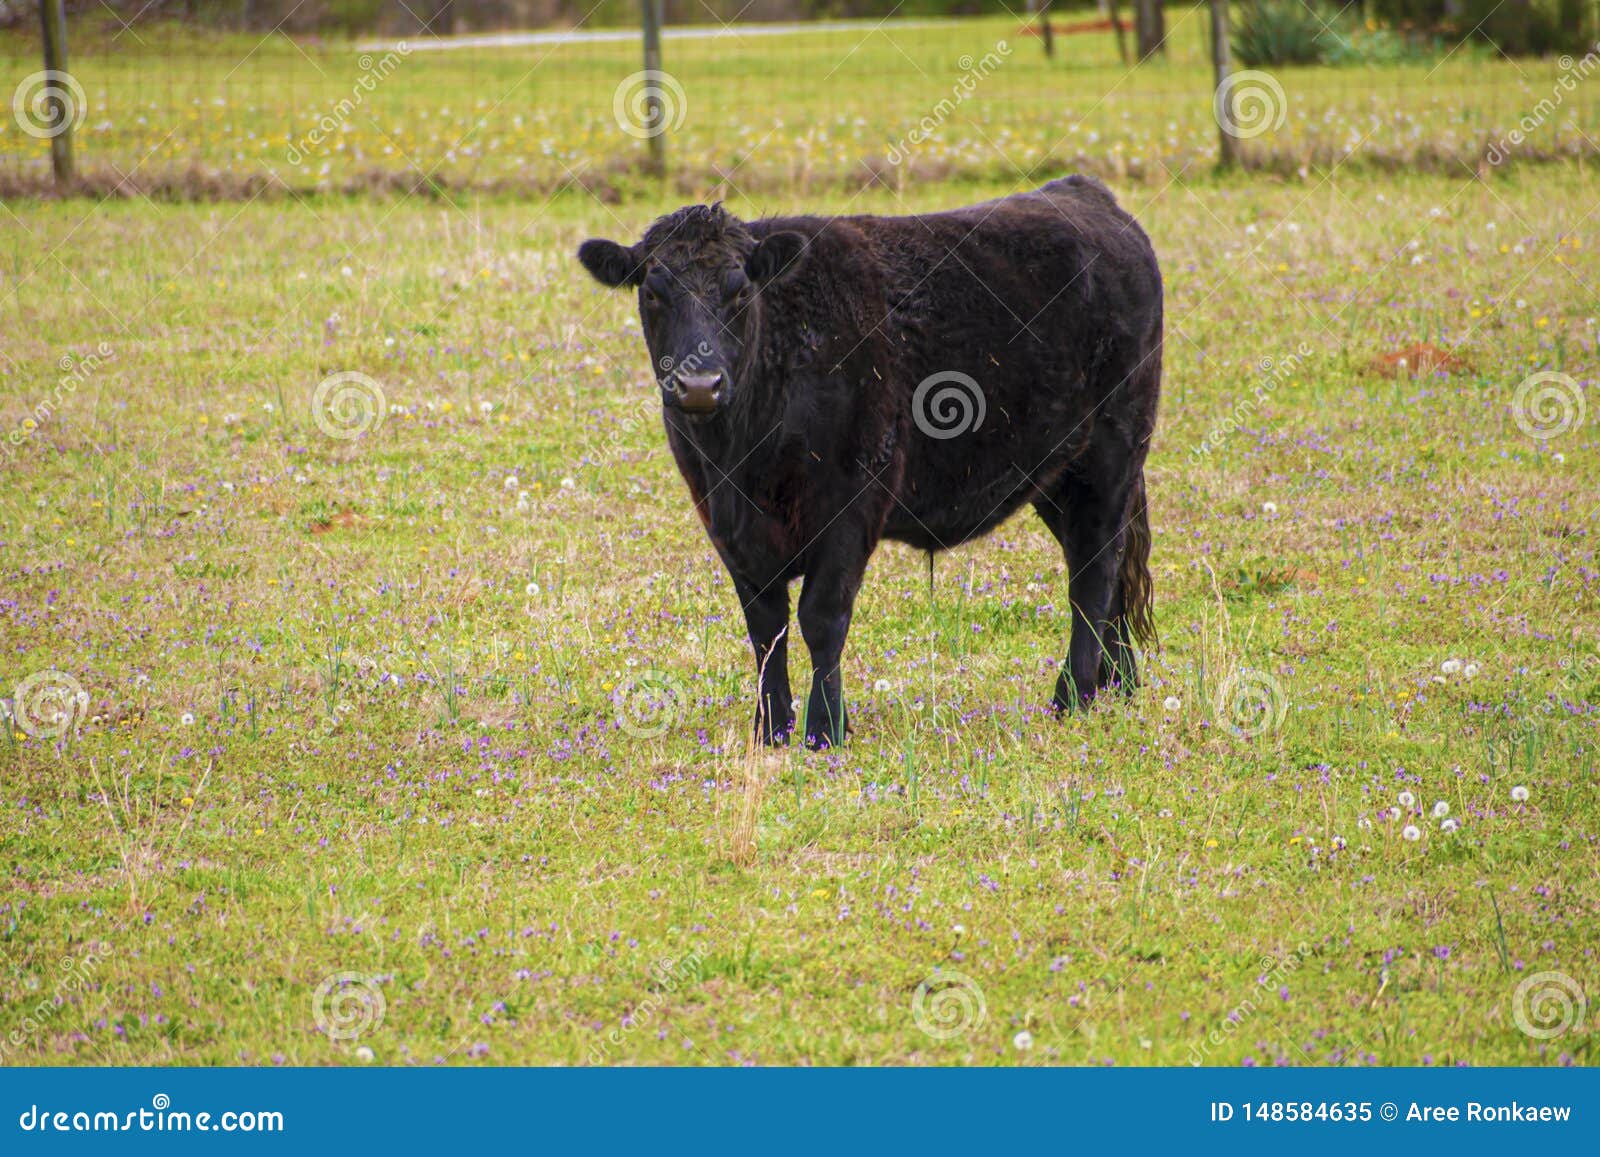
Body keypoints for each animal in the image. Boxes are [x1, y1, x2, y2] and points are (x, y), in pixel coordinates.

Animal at [578, 176, 1161, 749]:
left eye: (740, 290)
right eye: (652, 293)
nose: (699, 385)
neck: (741, 454)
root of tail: (1081, 191)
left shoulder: (850, 503)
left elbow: (820, 617)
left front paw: (824, 730)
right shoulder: (725, 522)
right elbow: (765, 626)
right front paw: (772, 729)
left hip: (1110, 454)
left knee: (1093, 571)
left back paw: (1074, 696)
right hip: (1059, 475)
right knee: (1105, 567)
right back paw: (1118, 682)